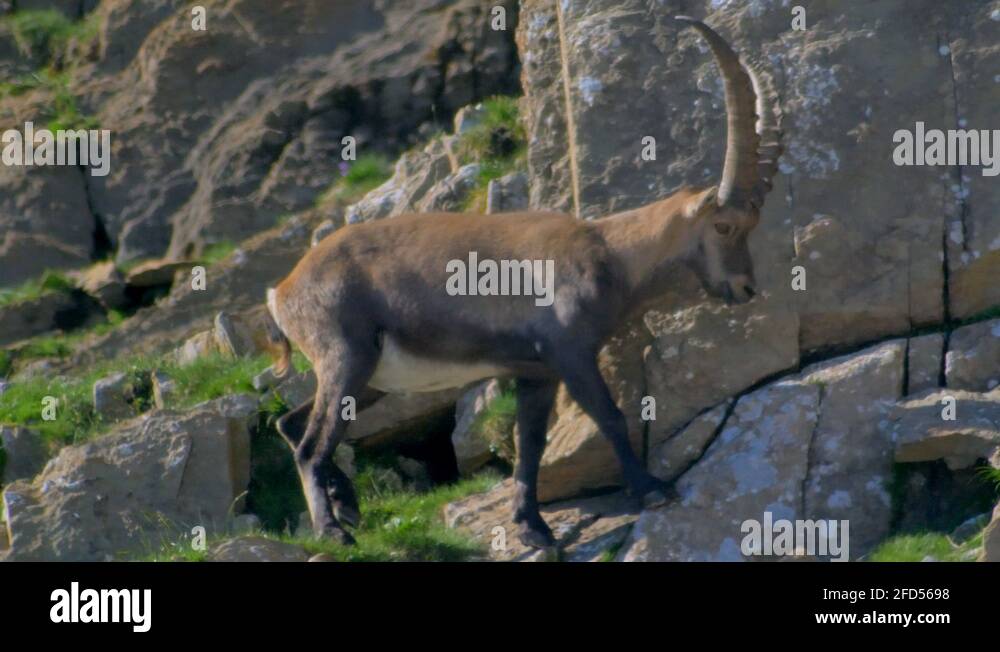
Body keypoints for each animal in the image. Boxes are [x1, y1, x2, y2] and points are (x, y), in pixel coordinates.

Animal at [265, 17, 783, 549]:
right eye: (724, 226)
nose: (746, 288)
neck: (610, 252)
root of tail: (282, 291)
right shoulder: (568, 352)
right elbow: (610, 416)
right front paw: (651, 489)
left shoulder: (536, 371)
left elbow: (530, 444)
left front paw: (533, 526)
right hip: (347, 354)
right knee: (310, 443)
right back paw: (331, 530)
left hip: (369, 374)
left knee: (291, 422)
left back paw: (347, 505)